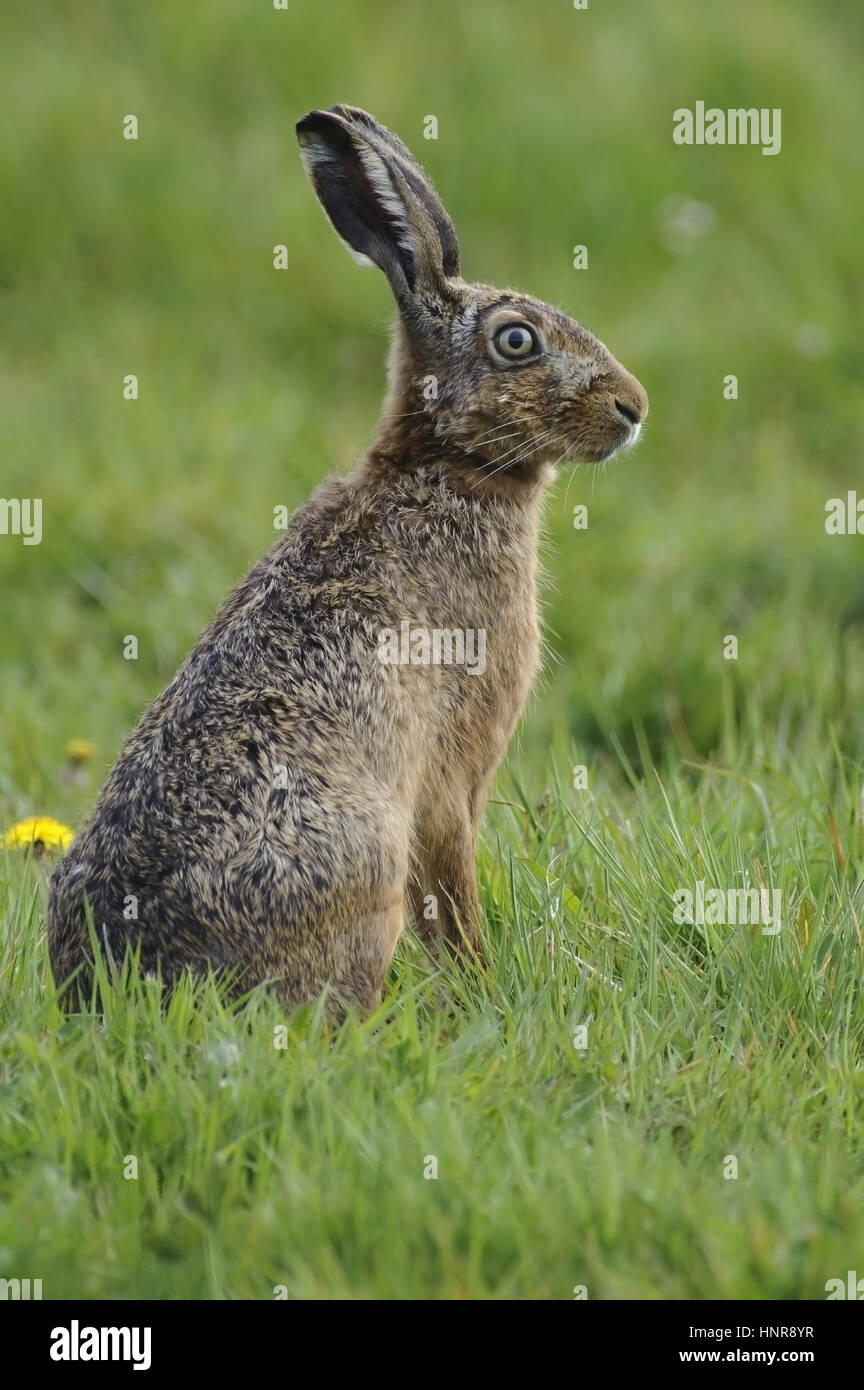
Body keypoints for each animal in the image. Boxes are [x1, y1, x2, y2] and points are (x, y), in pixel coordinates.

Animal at [48, 104, 647, 1015]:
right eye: (517, 341)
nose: (633, 407)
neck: (443, 465)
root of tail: (133, 978)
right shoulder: (449, 773)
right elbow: (453, 886)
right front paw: (482, 989)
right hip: (365, 857)